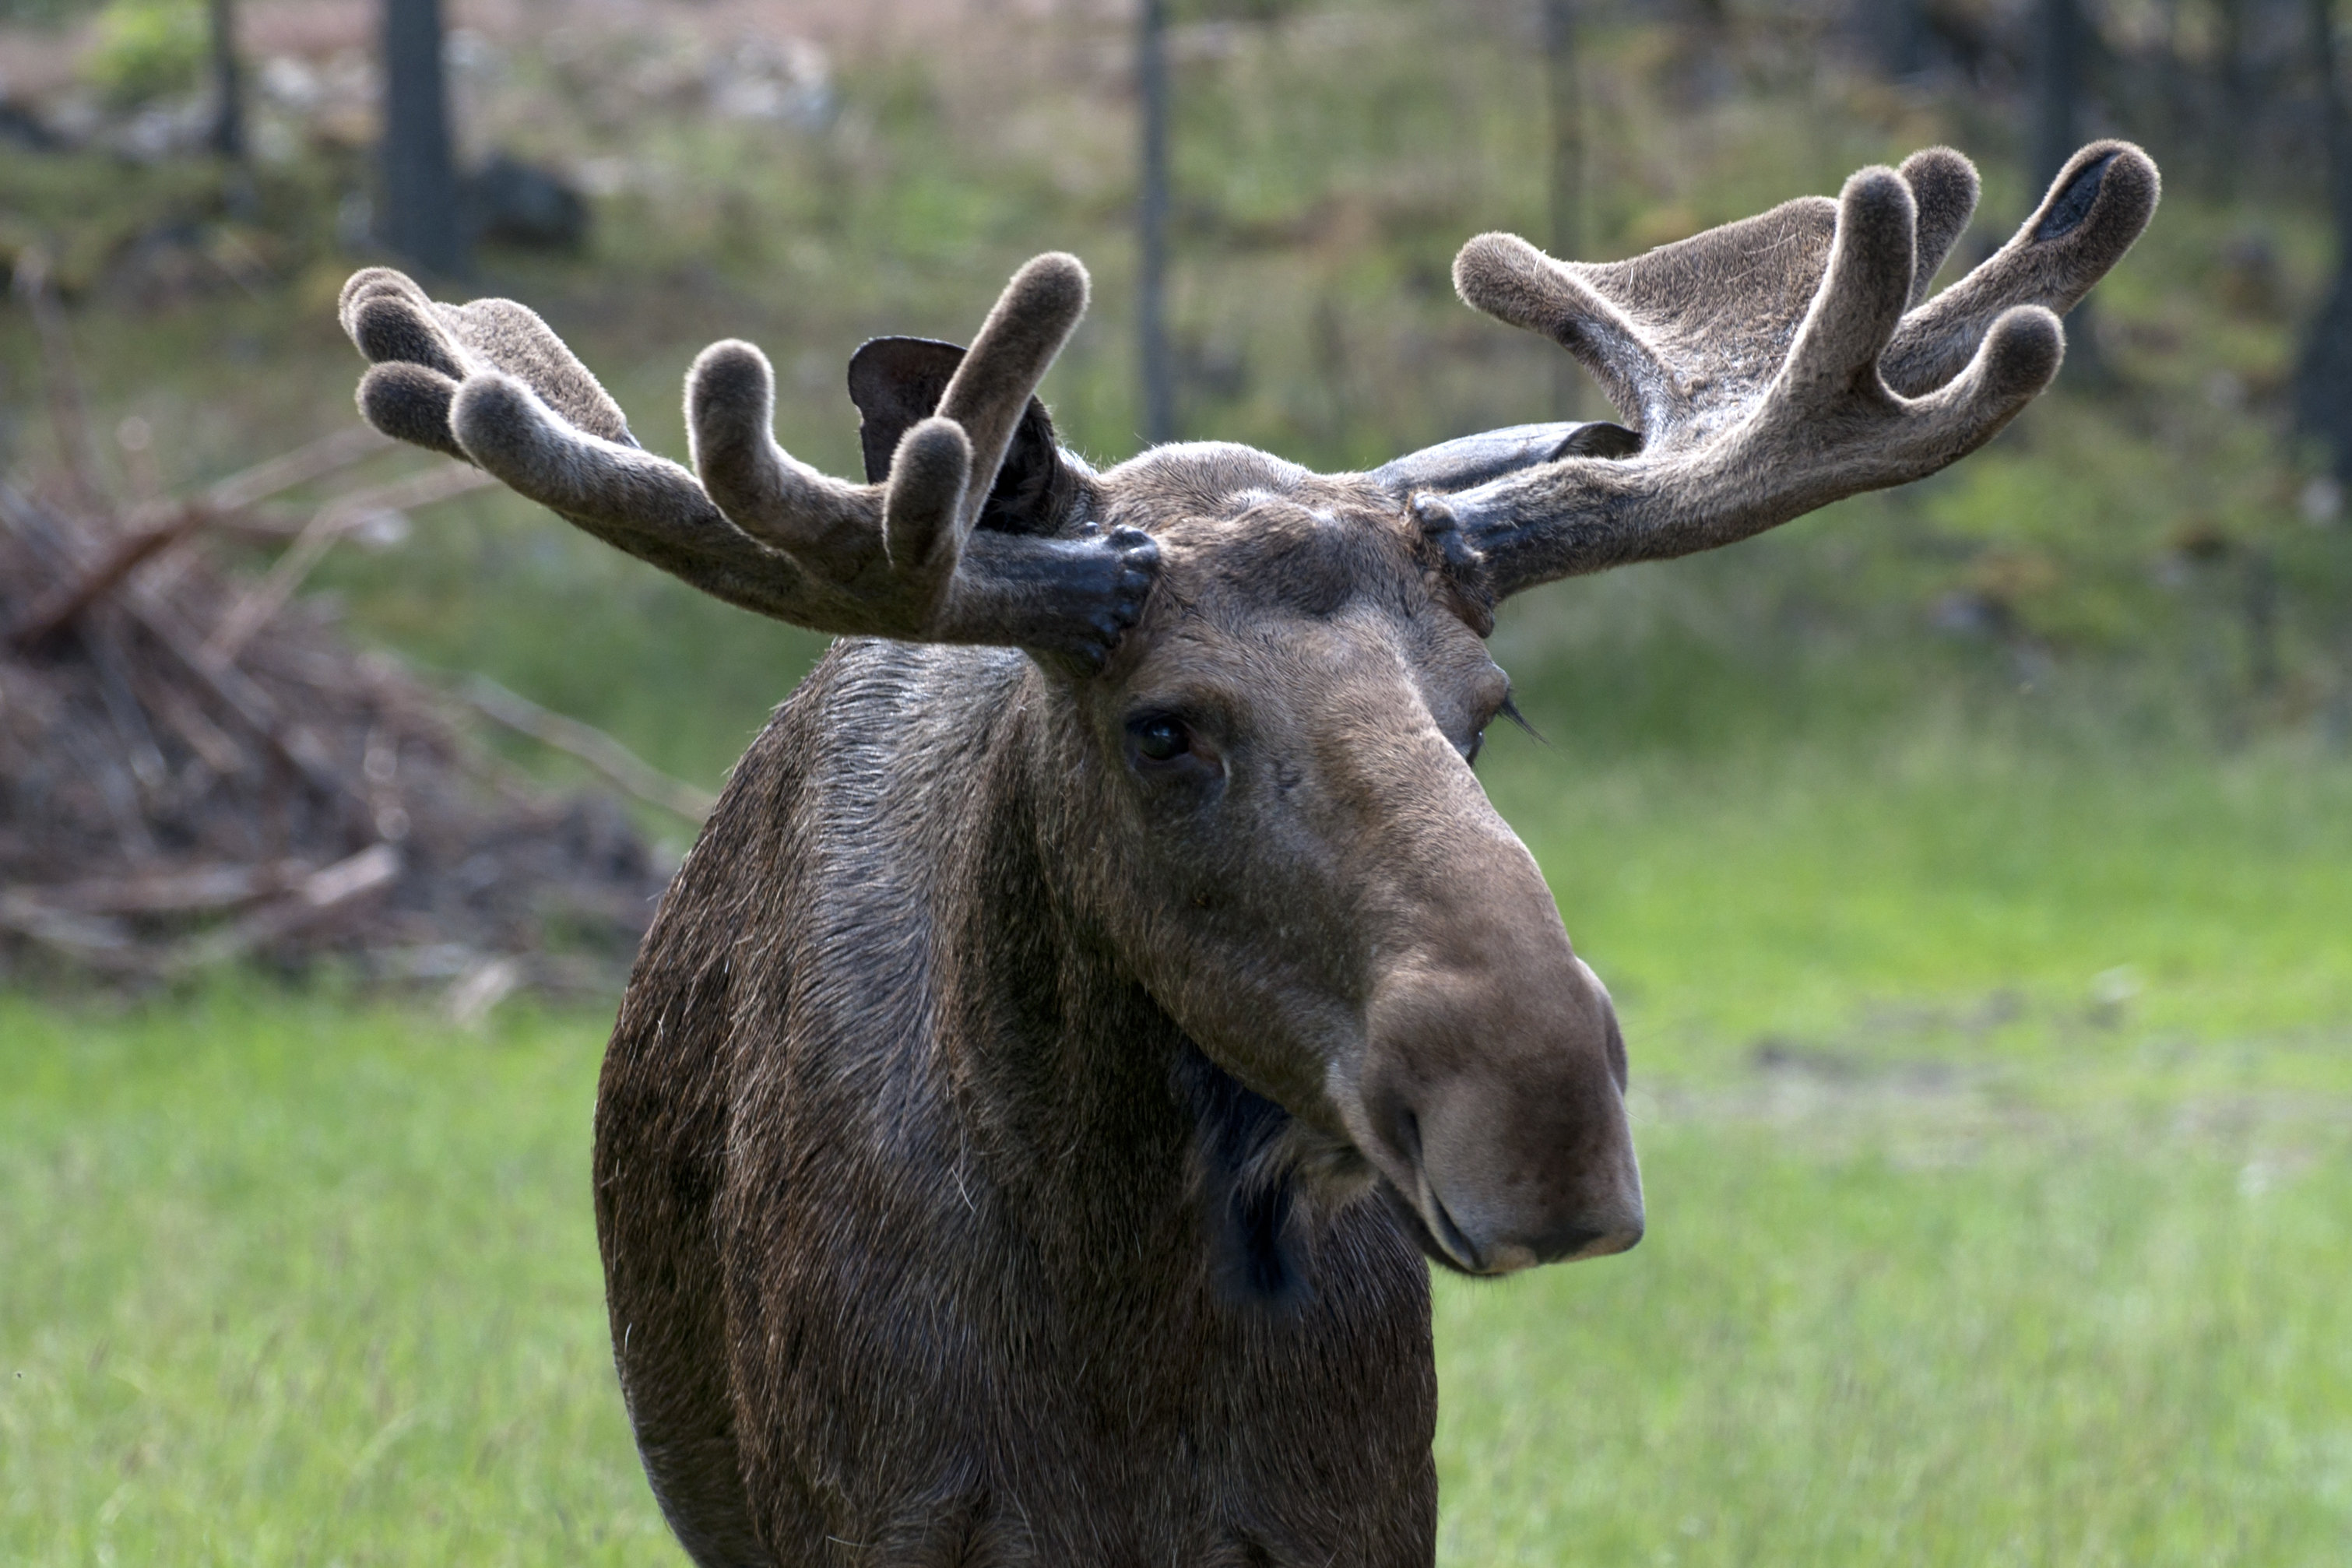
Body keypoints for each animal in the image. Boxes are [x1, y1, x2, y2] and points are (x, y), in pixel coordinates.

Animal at [338, 140, 2155, 1566]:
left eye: (1488, 706)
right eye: (1162, 726)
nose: (1544, 1116)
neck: (1109, 1340)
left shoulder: (1350, 1510)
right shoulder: (866, 1513)